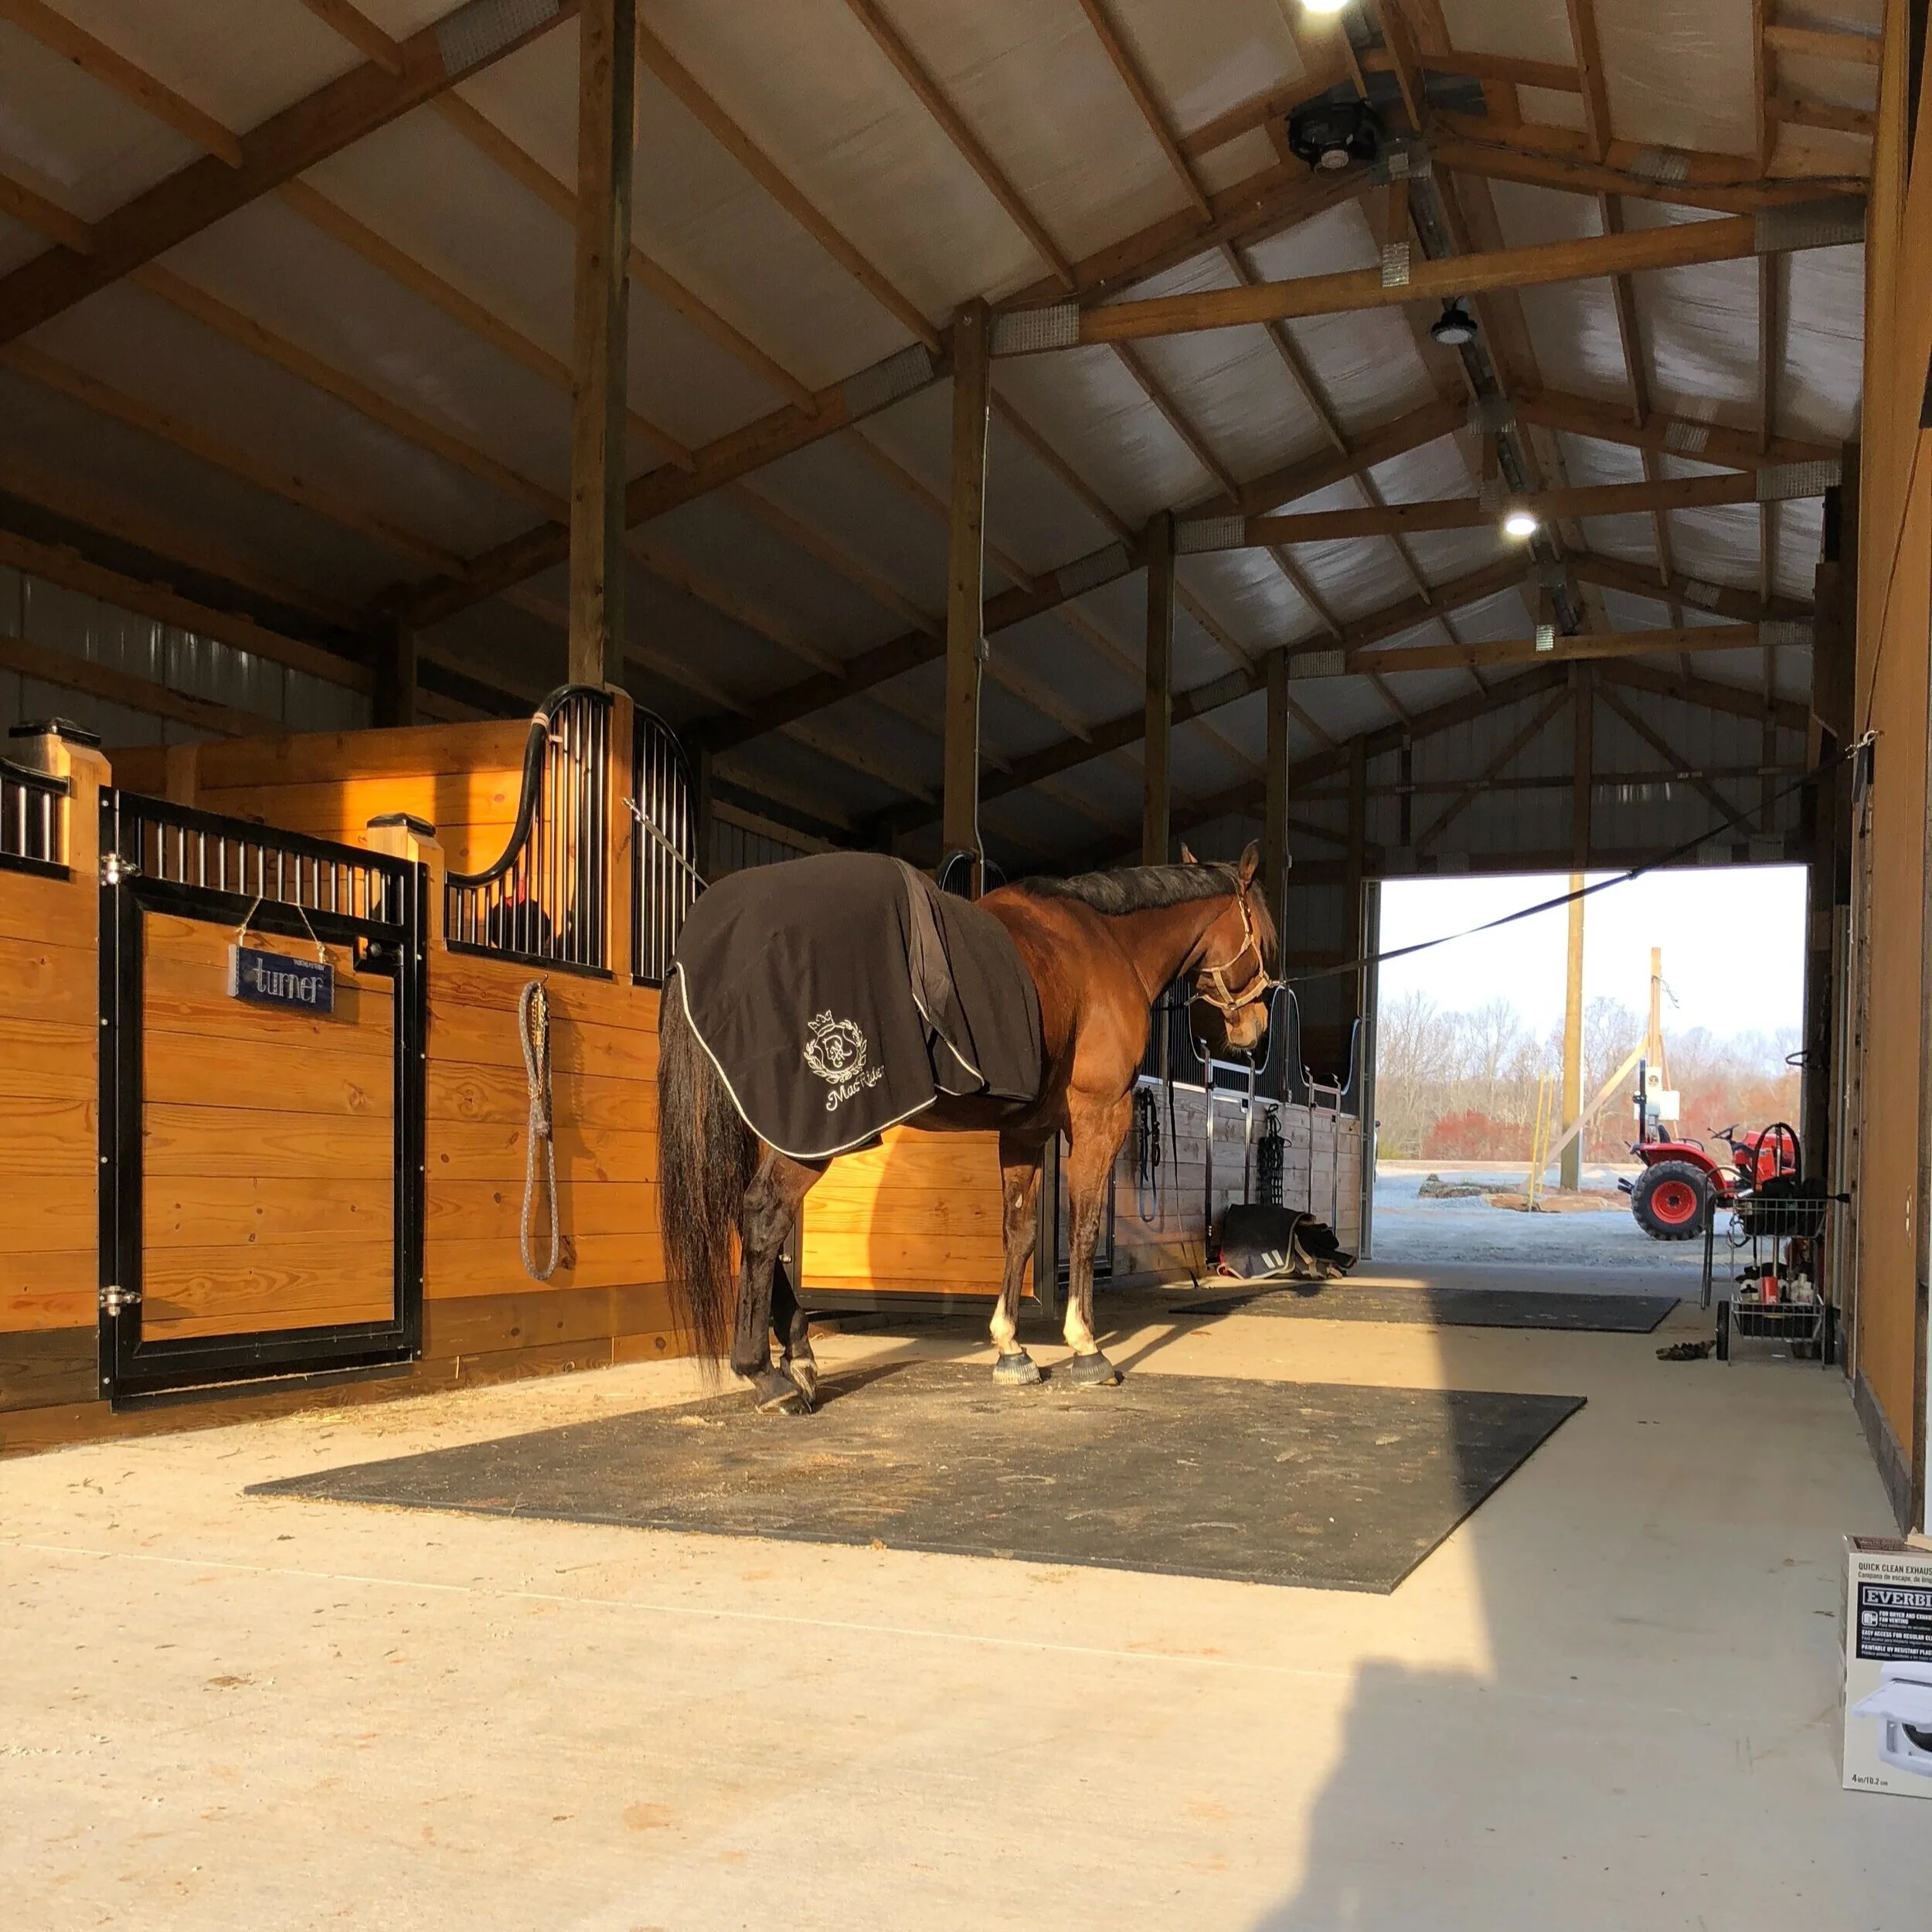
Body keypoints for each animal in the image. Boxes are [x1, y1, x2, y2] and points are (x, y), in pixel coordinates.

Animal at [656, 841, 1280, 1413]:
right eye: (1267, 940)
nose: (1254, 1031)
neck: (1106, 941)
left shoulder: (1025, 1132)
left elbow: (1018, 1232)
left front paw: (1011, 1350)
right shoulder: (1101, 1114)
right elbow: (1082, 1226)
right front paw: (1085, 1348)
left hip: (772, 1124)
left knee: (749, 1219)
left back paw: (801, 1360)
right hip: (811, 1129)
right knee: (765, 1217)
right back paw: (767, 1376)